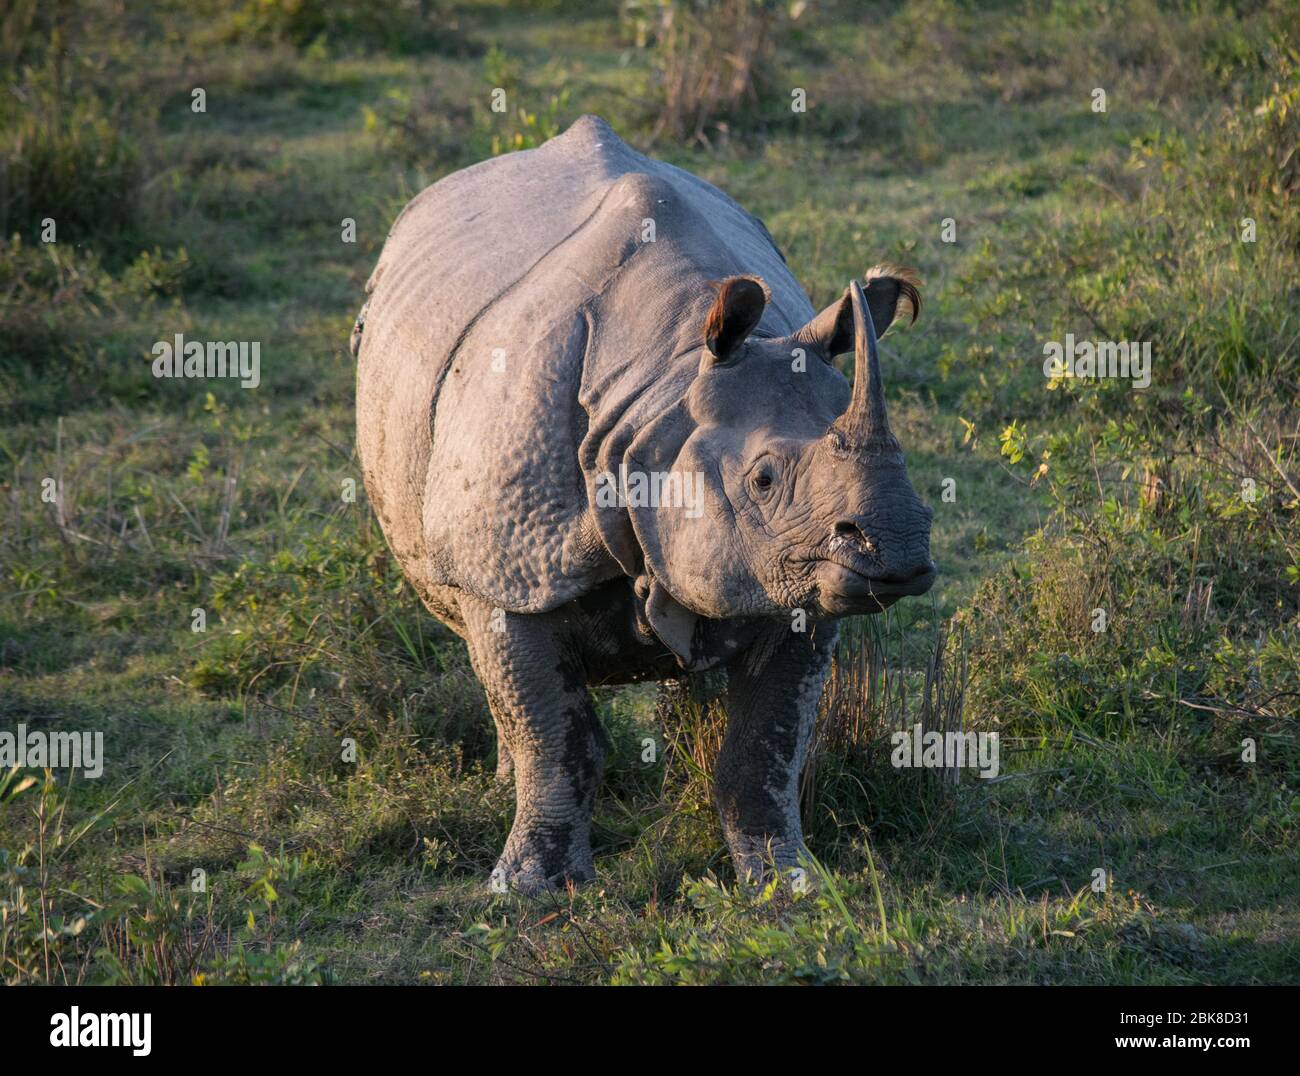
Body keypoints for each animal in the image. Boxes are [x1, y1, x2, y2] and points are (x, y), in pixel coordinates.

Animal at [354, 115, 935, 893]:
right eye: (762, 480)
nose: (896, 551)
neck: (663, 388)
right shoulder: (509, 568)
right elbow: (554, 736)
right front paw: (526, 891)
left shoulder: (798, 580)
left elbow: (766, 743)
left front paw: (787, 884)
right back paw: (503, 785)